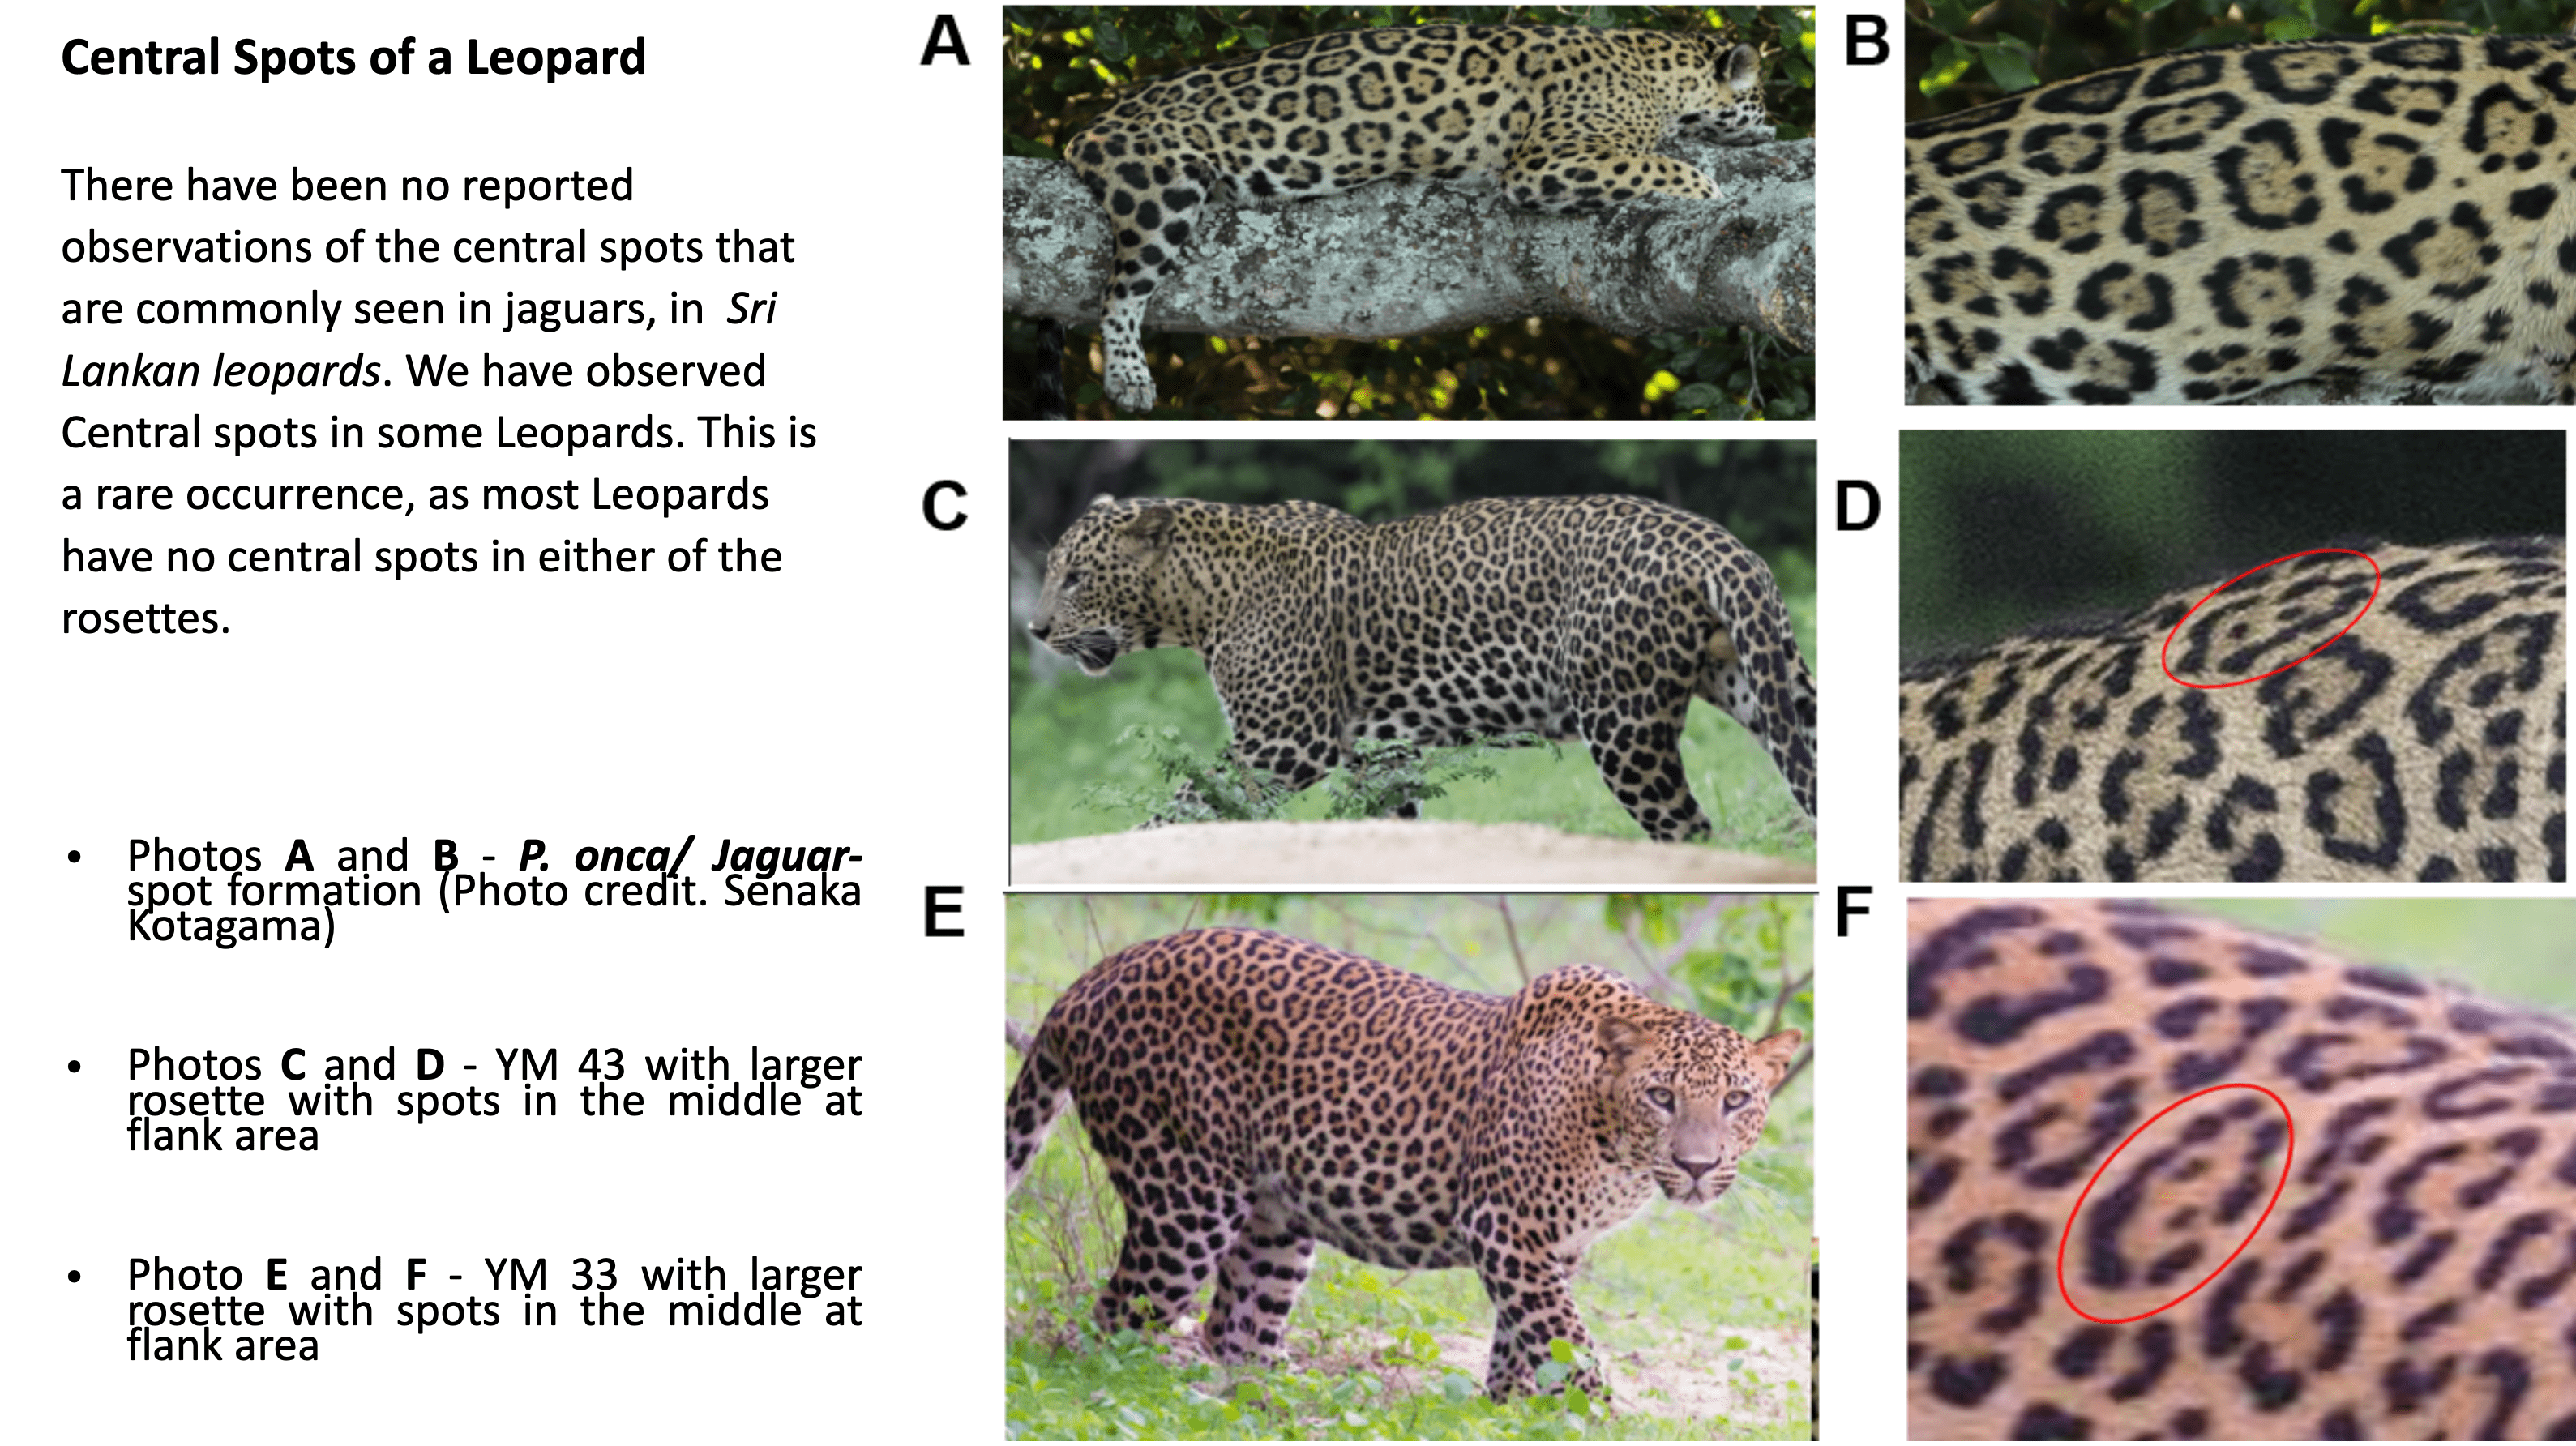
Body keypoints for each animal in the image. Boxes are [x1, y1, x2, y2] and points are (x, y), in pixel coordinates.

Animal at [1005, 926, 1802, 1398]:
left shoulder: (1551, 1247)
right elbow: (1566, 1338)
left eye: (1736, 1099)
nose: (1696, 1166)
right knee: (1112, 1324)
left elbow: (1524, 1340)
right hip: (1186, 1200)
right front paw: (1596, 1415)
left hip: (1275, 1221)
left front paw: (1508, 1413)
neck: (1615, 1143)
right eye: (1662, 1097)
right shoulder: (1505, 1226)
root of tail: (1089, 982)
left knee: (1233, 1329)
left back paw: (1277, 1401)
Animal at [1026, 492, 1818, 843]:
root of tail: (1714, 541)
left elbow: (1187, 806)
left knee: (1688, 828)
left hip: (1625, 724)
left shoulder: (1285, 742)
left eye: (1076, 577)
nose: (1035, 629)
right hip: (1763, 683)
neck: (1196, 601)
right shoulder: (1379, 754)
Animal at [1060, 23, 1773, 412]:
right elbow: (1664, 168)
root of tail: (1089, 126)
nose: (1773, 127)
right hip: (1161, 186)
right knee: (1119, 292)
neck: (1657, 73)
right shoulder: (1549, 160)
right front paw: (1710, 191)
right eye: (1761, 96)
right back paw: (1128, 377)